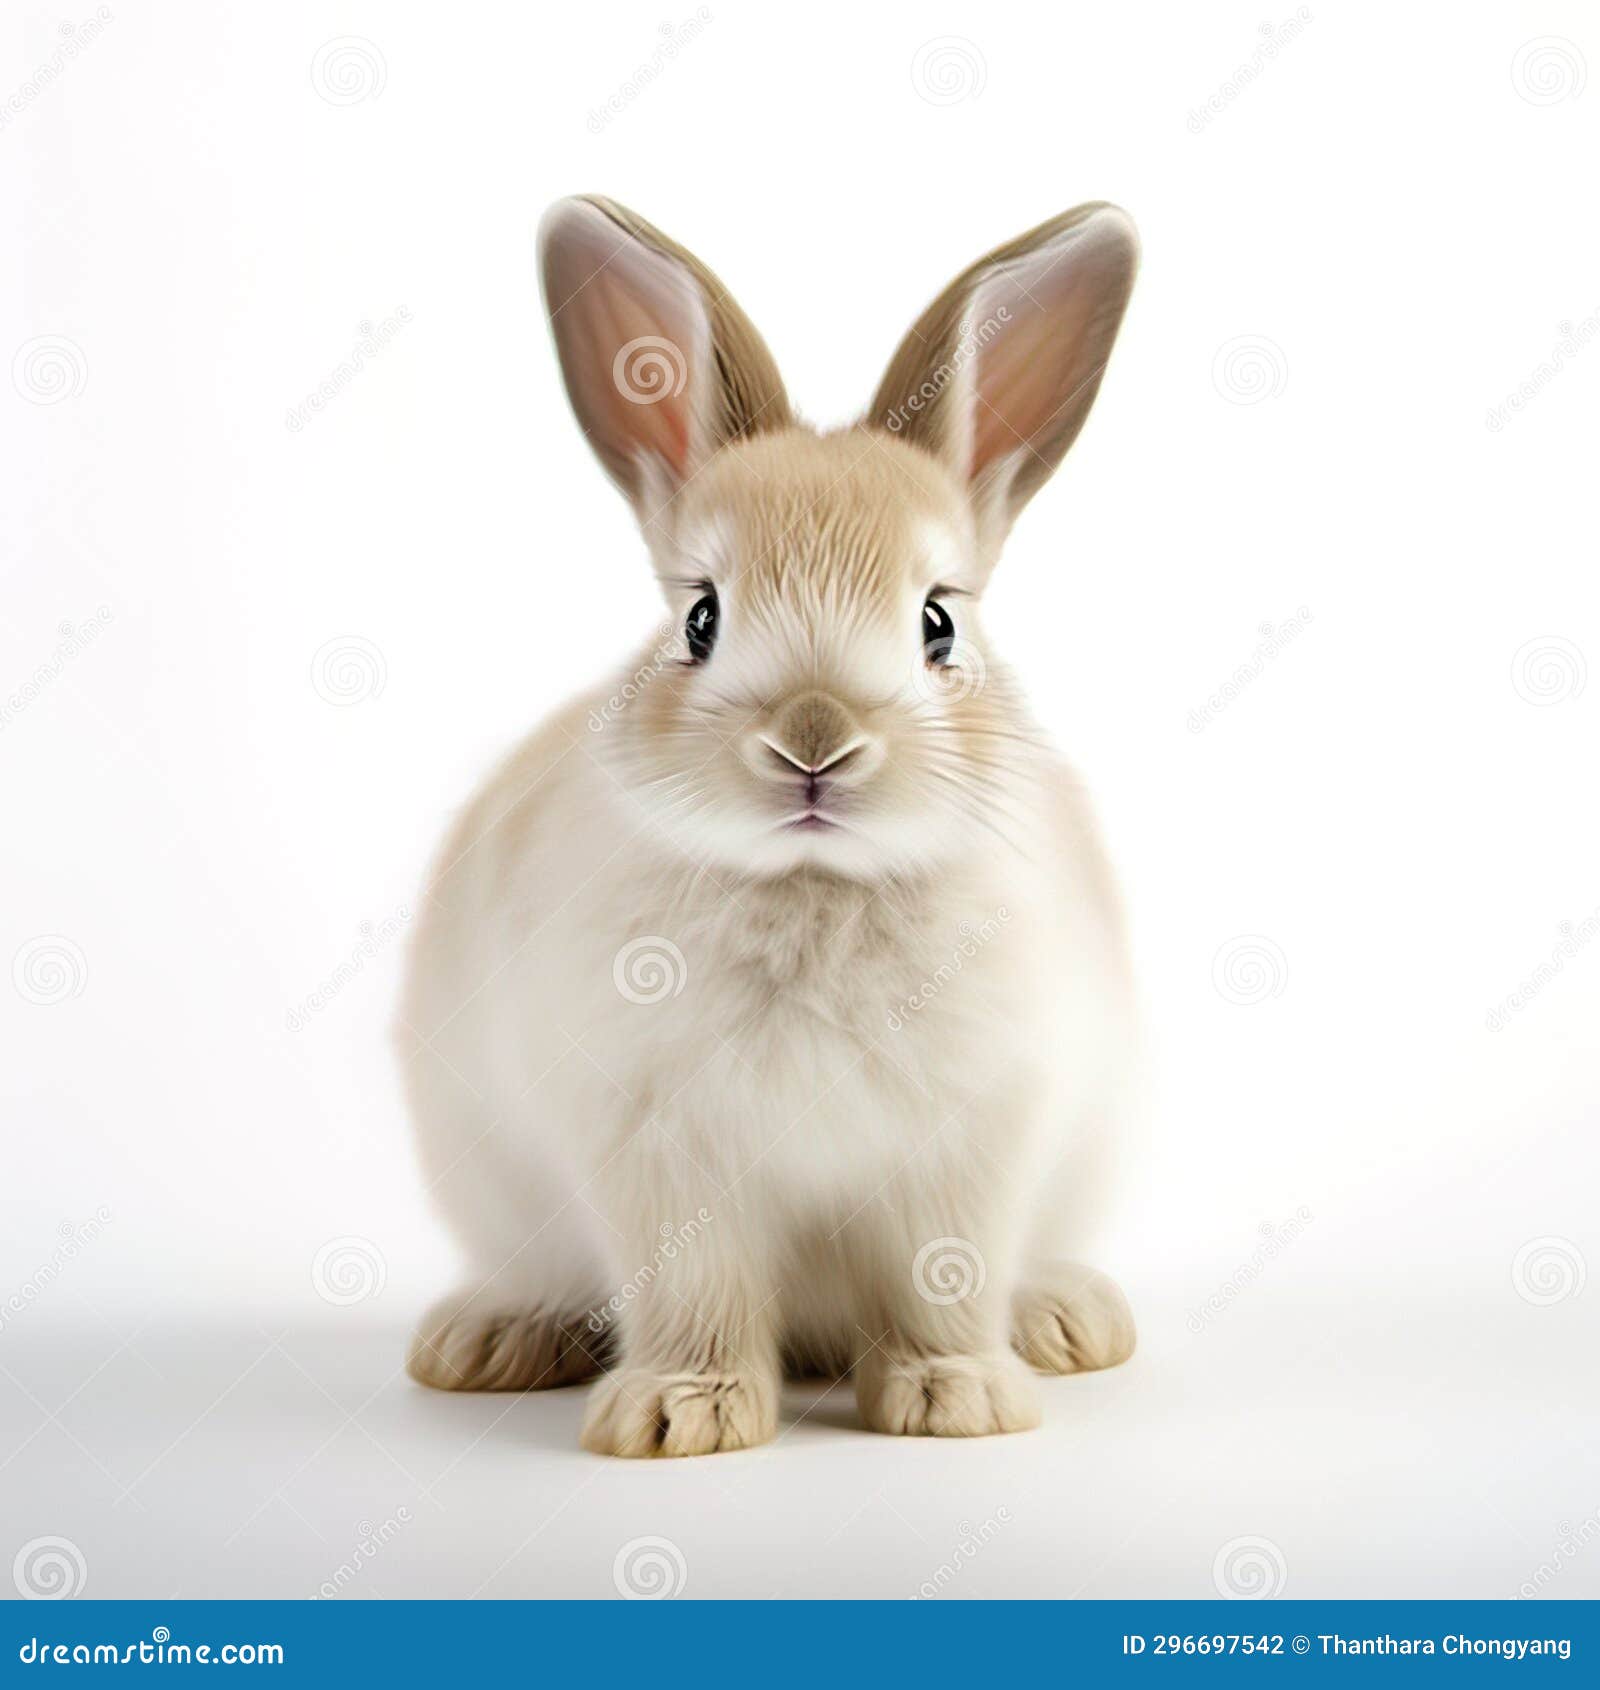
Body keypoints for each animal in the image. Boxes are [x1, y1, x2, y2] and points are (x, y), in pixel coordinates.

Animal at [400, 194, 1142, 1456]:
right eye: (699, 619)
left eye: (938, 624)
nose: (813, 742)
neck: (817, 887)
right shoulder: (662, 1149)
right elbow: (696, 1292)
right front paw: (676, 1417)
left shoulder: (968, 1146)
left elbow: (942, 1276)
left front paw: (957, 1401)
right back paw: (489, 1341)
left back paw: (1067, 1320)